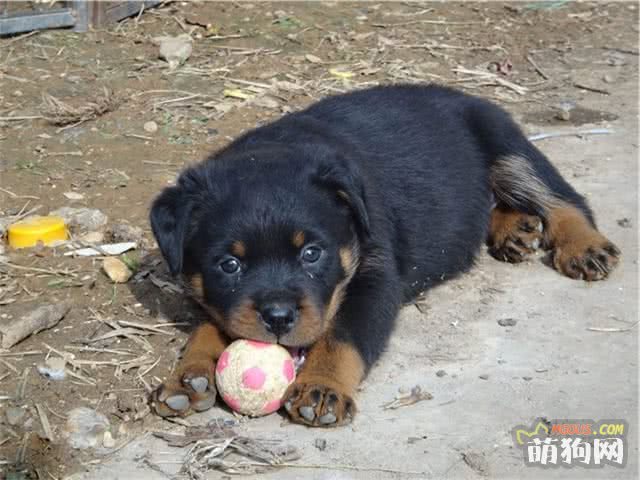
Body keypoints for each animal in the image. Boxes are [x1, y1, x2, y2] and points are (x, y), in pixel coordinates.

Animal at [150, 84, 620, 426]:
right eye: (229, 265)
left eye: (312, 254)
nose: (279, 318)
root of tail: (461, 93)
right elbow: (208, 326)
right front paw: (189, 377)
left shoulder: (375, 277)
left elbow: (342, 337)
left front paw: (322, 389)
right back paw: (514, 228)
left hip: (505, 142)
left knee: (560, 197)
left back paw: (584, 246)